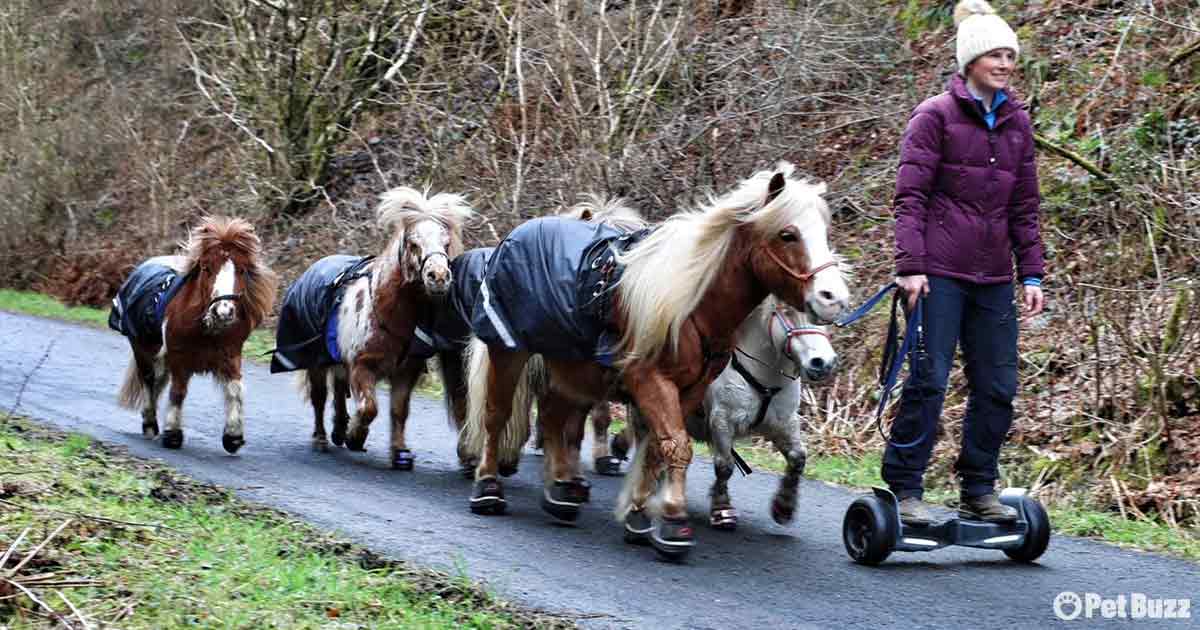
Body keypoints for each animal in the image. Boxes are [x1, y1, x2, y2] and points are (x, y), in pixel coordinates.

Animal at [110, 216, 278, 452]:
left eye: (242, 270)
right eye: (206, 268)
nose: (224, 311)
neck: (206, 328)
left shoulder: (230, 356)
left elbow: (235, 389)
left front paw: (233, 436)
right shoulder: (179, 357)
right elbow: (178, 392)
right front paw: (173, 434)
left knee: (157, 381)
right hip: (141, 349)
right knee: (149, 381)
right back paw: (150, 424)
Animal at [270, 187, 474, 463]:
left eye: (446, 243)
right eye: (413, 243)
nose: (439, 277)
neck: (388, 311)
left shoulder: (405, 372)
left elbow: (399, 411)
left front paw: (399, 452)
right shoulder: (361, 367)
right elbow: (369, 408)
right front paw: (356, 437)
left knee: (338, 389)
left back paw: (339, 428)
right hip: (316, 362)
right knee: (320, 398)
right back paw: (322, 438)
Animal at [461, 162, 851, 559]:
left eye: (824, 231)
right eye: (788, 234)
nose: (833, 298)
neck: (691, 304)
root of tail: (519, 232)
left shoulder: (690, 391)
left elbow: (658, 449)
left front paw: (638, 516)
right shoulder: (653, 382)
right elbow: (677, 446)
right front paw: (674, 520)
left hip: (569, 366)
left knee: (557, 419)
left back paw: (560, 494)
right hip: (509, 351)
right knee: (496, 415)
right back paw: (489, 487)